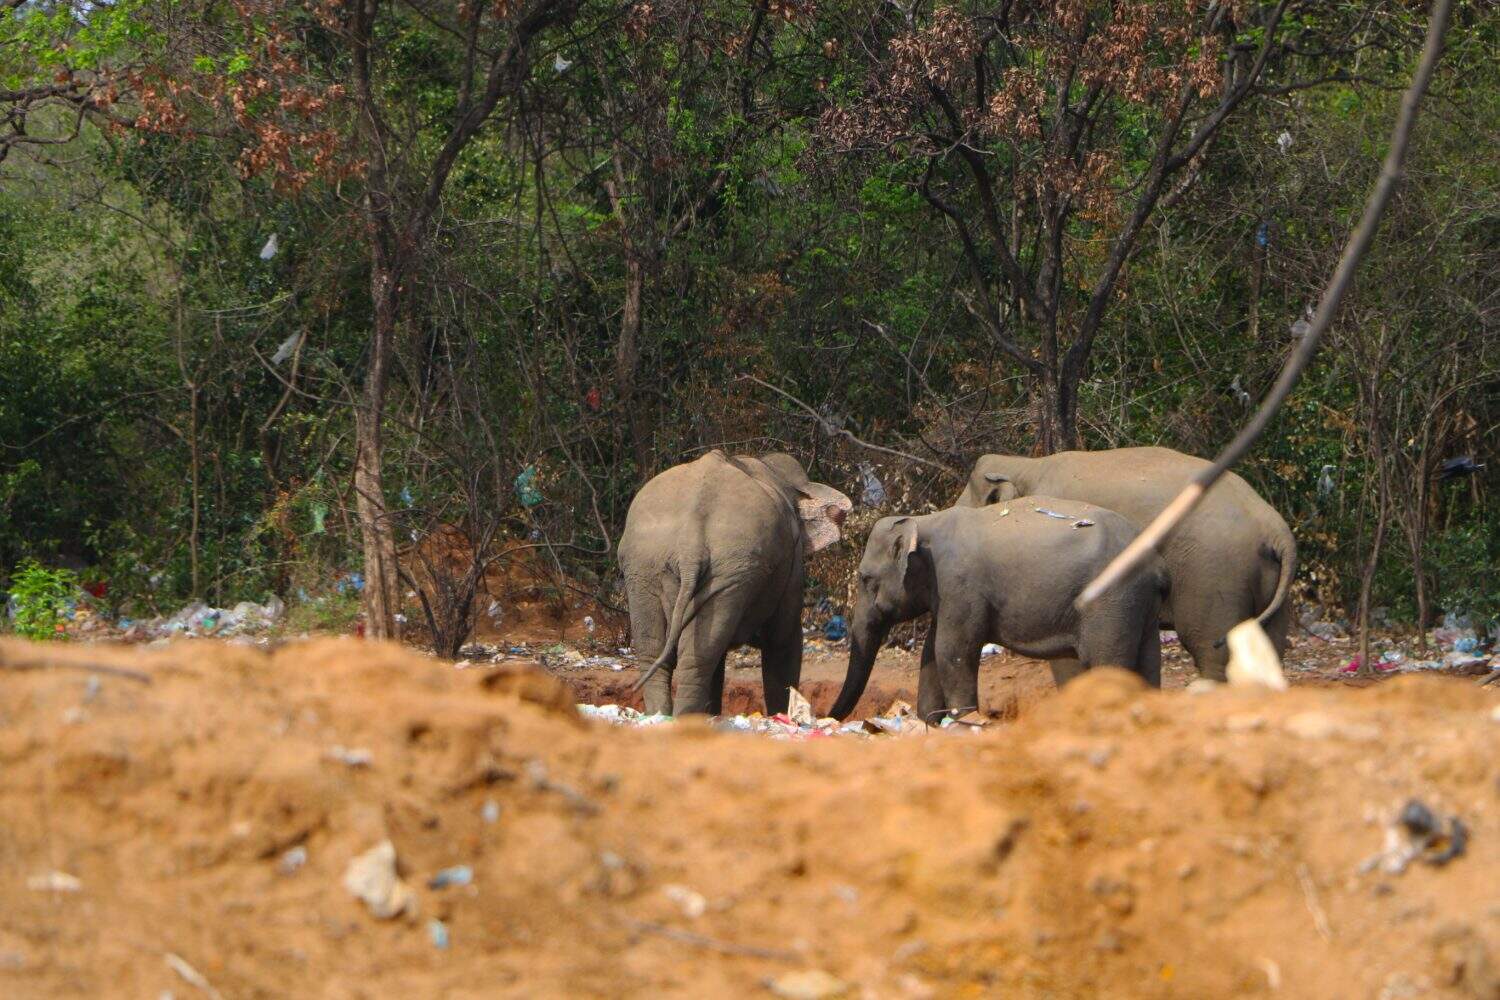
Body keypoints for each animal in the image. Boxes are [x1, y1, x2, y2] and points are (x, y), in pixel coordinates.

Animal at [618, 450, 853, 716]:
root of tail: (690, 541)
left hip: (650, 568)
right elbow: (783, 639)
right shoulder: (791, 564)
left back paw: (664, 716)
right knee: (698, 658)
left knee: (659, 650)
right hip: (724, 570)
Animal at [828, 499, 1165, 722]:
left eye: (866, 579)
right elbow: (931, 654)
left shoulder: (960, 585)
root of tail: (1157, 567)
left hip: (1113, 600)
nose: (829, 718)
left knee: (1110, 664)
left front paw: (964, 721)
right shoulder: (946, 593)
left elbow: (952, 651)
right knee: (1149, 664)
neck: (924, 521)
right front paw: (930, 723)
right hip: (1140, 606)